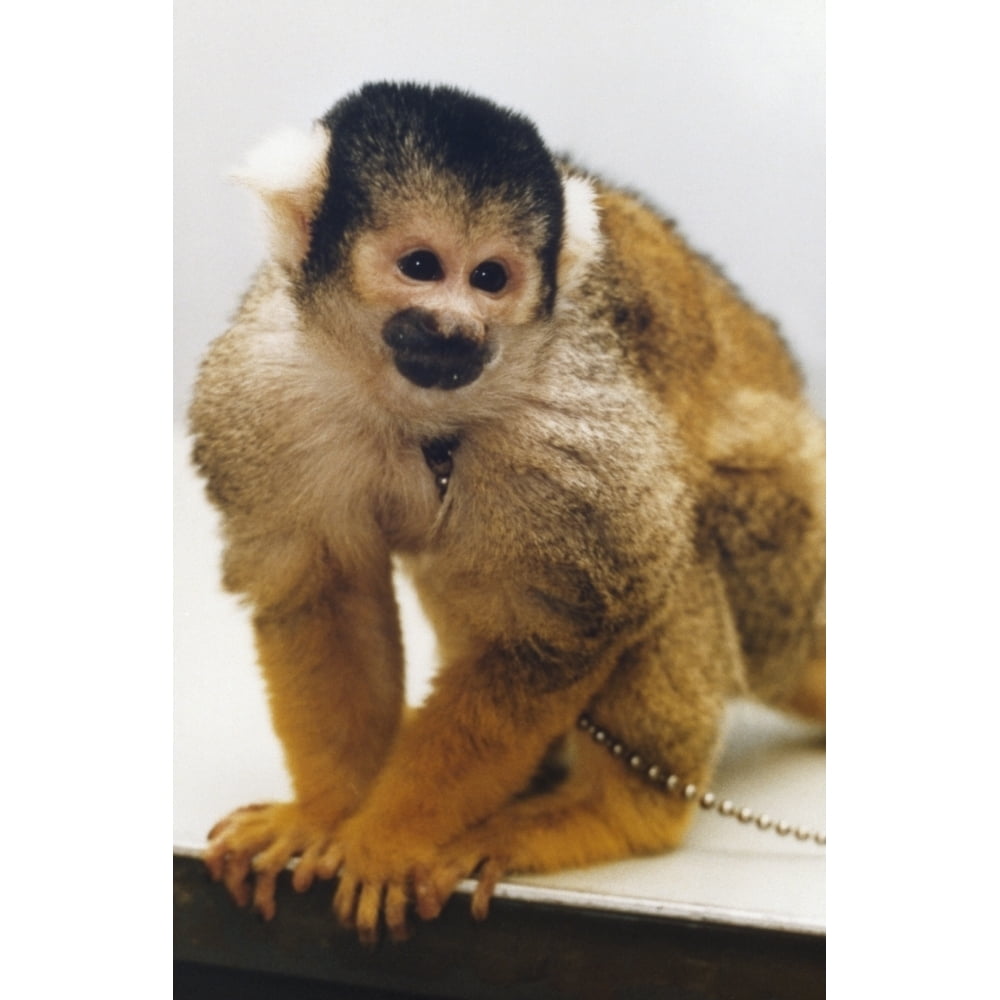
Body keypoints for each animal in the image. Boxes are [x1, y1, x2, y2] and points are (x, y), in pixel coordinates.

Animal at [188, 81, 825, 945]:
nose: (460, 328)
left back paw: (618, 814)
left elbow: (569, 625)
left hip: (781, 574)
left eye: (492, 277)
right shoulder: (267, 387)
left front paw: (388, 838)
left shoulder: (570, 440)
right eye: (422, 267)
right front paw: (324, 815)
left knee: (678, 541)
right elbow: (322, 587)